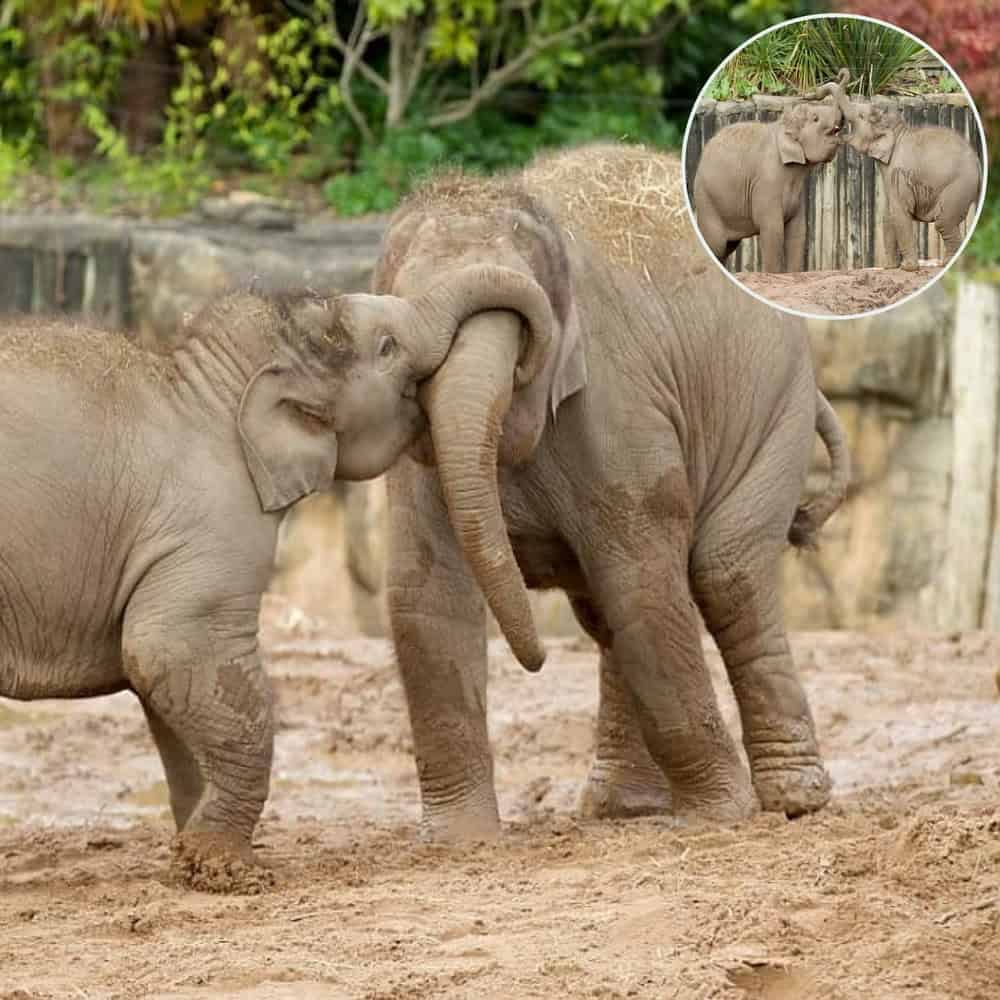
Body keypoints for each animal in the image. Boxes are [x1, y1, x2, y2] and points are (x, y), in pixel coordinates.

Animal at [0, 277, 532, 885]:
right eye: (388, 347)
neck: (204, 385)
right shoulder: (210, 523)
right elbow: (167, 652)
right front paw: (229, 870)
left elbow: (166, 695)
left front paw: (196, 860)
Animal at [367, 141, 851, 842]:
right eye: (397, 343)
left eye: (525, 339)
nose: (536, 661)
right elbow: (425, 595)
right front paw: (458, 843)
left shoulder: (615, 407)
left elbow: (643, 581)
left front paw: (719, 817)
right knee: (609, 614)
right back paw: (628, 807)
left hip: (774, 412)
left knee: (720, 576)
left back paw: (792, 802)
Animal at [693, 73, 847, 273]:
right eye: (815, 118)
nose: (808, 92)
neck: (782, 124)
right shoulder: (766, 181)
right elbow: (772, 230)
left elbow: (798, 231)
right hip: (707, 201)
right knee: (716, 244)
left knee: (727, 247)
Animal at [806, 69, 982, 270]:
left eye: (861, 116)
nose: (808, 94)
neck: (898, 132)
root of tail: (979, 164)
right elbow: (887, 214)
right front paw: (890, 267)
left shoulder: (899, 172)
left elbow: (899, 213)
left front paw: (908, 268)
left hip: (959, 186)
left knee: (943, 223)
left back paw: (946, 263)